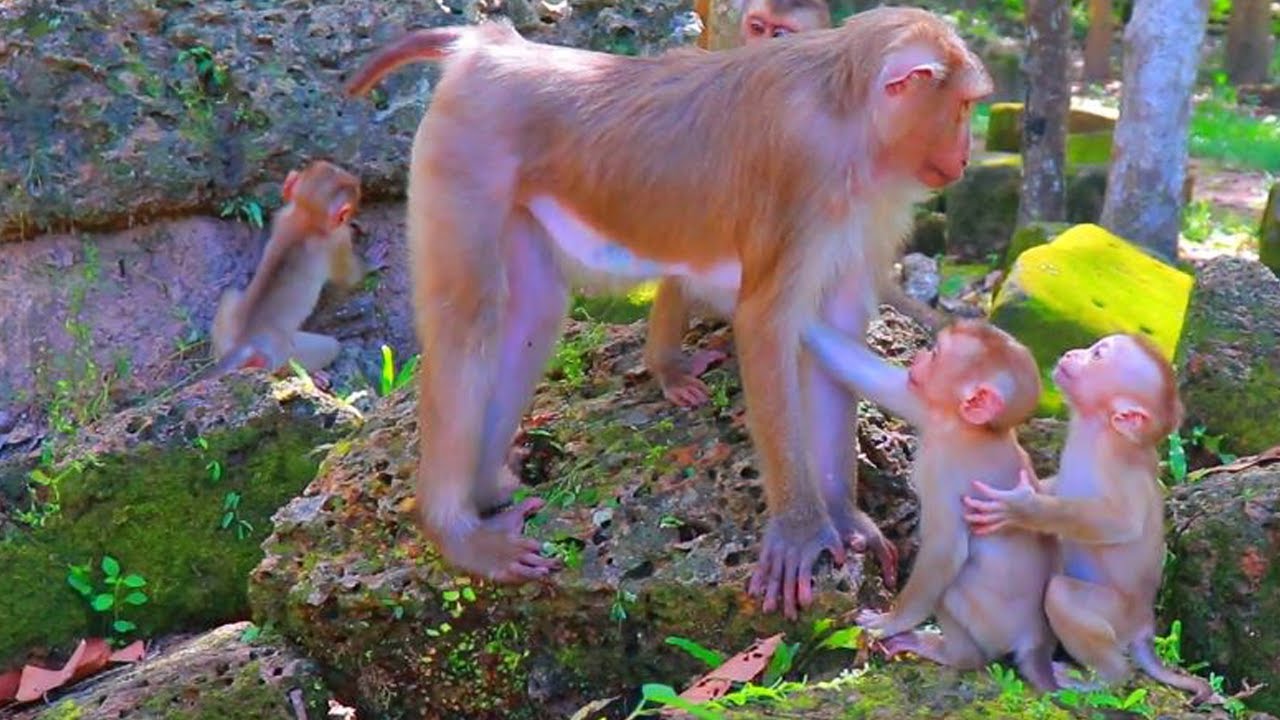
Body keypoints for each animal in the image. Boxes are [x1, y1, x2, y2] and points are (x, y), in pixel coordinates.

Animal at [207, 160, 364, 380]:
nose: (357, 181)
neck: (305, 219)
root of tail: (243, 341)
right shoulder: (338, 240)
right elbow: (351, 279)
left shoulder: (282, 215)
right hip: (286, 352)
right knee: (331, 346)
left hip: (228, 324)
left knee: (229, 294)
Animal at [343, 8, 992, 617]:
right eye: (962, 106)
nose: (965, 156)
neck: (852, 119)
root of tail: (493, 46)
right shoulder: (804, 173)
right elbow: (766, 324)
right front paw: (801, 530)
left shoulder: (863, 214)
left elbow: (833, 333)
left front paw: (845, 517)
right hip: (465, 152)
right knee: (469, 320)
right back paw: (455, 532)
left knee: (533, 313)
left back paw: (487, 491)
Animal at [803, 318, 1057, 690]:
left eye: (936, 354)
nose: (920, 357)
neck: (970, 430)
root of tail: (1037, 639)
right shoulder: (932, 410)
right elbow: (873, 377)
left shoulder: (947, 473)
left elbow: (944, 550)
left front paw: (891, 621)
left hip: (993, 623)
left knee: (950, 587)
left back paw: (953, 655)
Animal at [963, 334, 1214, 703]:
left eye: (1097, 356)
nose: (1071, 354)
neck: (1100, 430)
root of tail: (1144, 624)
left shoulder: (1118, 469)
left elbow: (1118, 523)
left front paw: (1023, 508)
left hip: (1116, 613)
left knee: (1062, 596)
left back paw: (1105, 678)